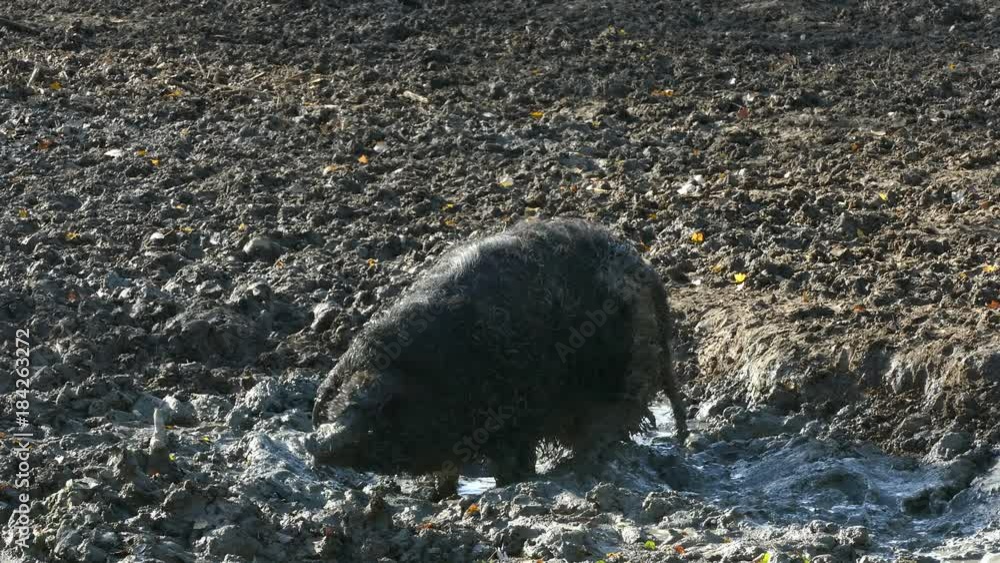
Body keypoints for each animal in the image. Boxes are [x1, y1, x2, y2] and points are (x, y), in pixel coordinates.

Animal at [308, 218, 687, 489]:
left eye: (379, 413)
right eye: (344, 400)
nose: (318, 439)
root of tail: (649, 274)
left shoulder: (512, 417)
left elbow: (511, 461)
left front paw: (510, 484)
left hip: (628, 368)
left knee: (612, 422)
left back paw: (580, 464)